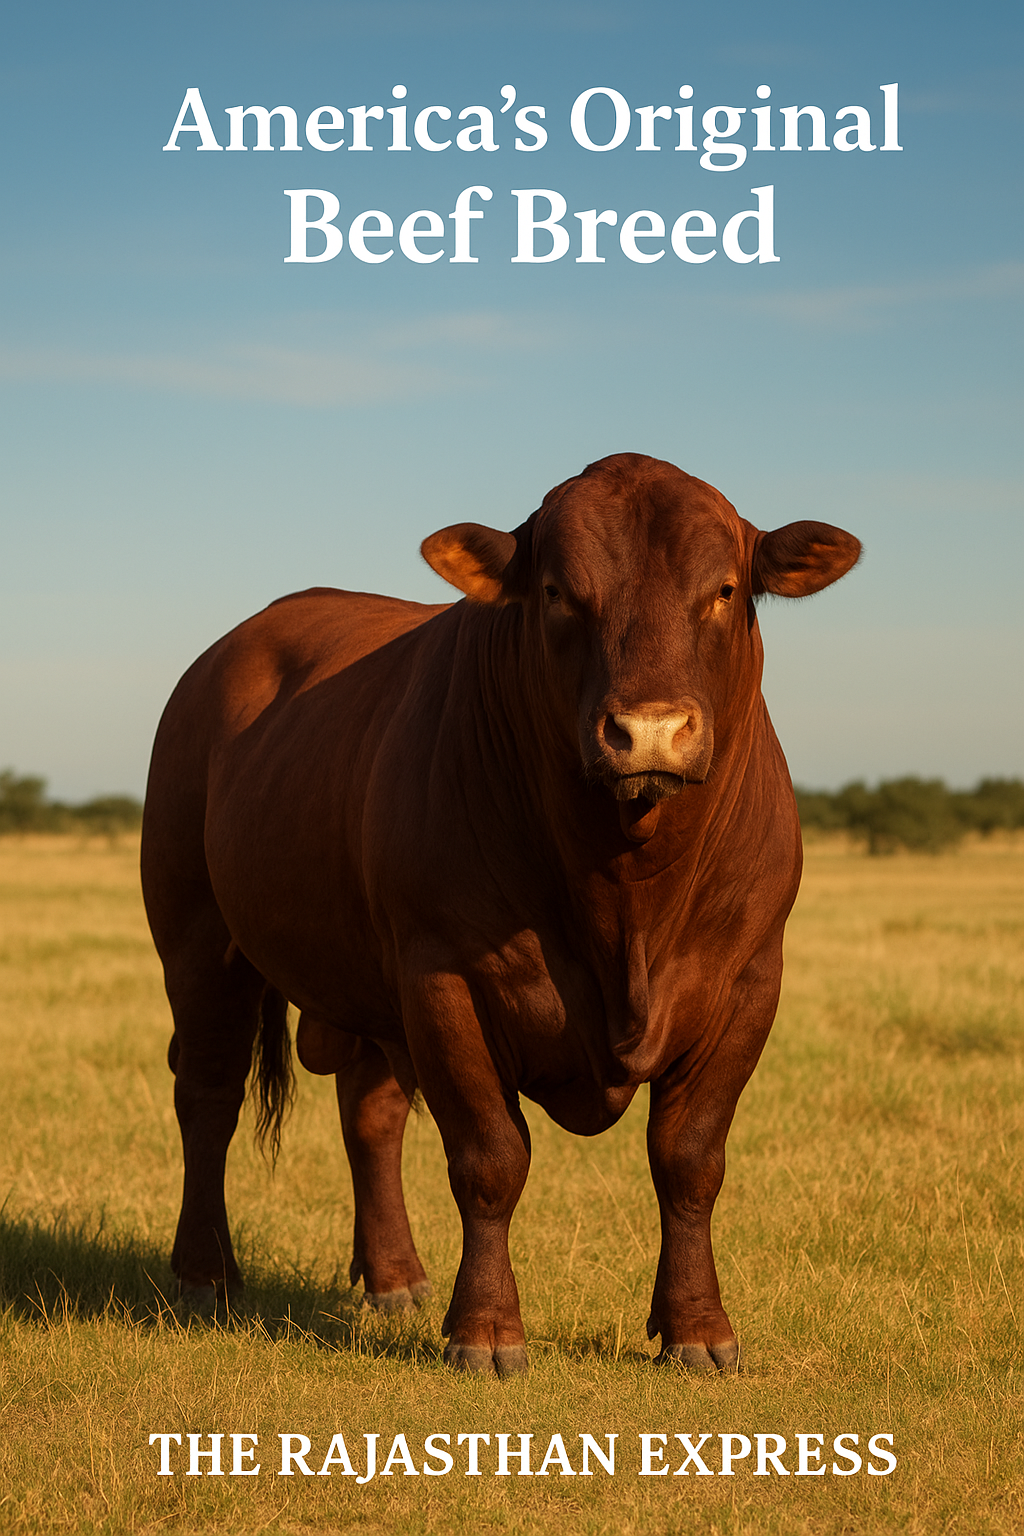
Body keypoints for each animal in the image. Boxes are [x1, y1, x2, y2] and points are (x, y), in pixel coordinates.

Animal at [141, 451, 860, 1376]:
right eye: (557, 592)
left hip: (366, 985)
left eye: (725, 590)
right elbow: (490, 1159)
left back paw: (393, 1277)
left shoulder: (747, 983)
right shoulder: (446, 976)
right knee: (208, 1094)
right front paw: (485, 1331)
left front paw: (699, 1329)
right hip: (198, 941)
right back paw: (205, 1275)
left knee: (369, 1112)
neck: (626, 890)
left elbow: (689, 1160)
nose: (648, 732)